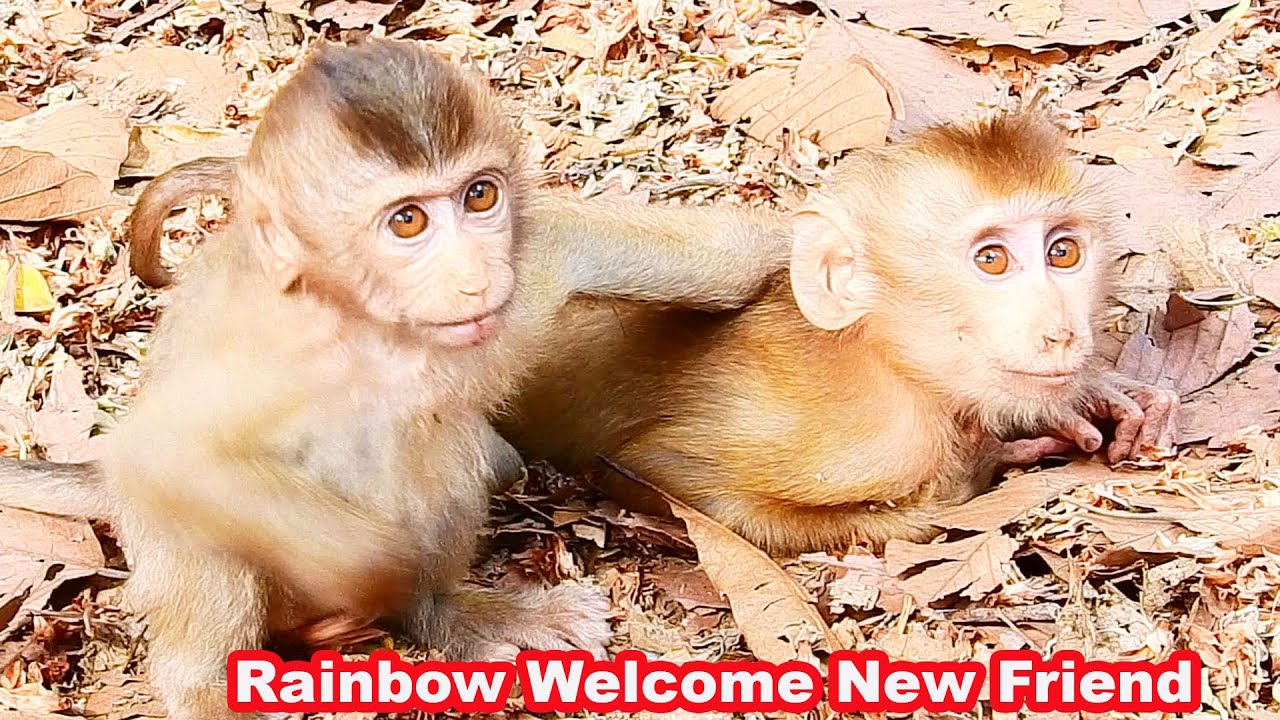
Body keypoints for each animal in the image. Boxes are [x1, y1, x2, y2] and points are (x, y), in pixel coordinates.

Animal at [0, 40, 787, 719]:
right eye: (407, 222)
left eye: (479, 197)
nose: (473, 278)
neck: (383, 335)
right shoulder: (275, 351)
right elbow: (170, 453)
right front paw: (379, 577)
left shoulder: (526, 270)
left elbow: (714, 260)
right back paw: (217, 682)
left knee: (450, 446)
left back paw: (450, 613)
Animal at [496, 112, 1180, 556]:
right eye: (992, 260)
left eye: (1063, 252)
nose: (1061, 333)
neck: (891, 360)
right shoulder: (879, 438)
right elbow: (656, 468)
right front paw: (975, 473)